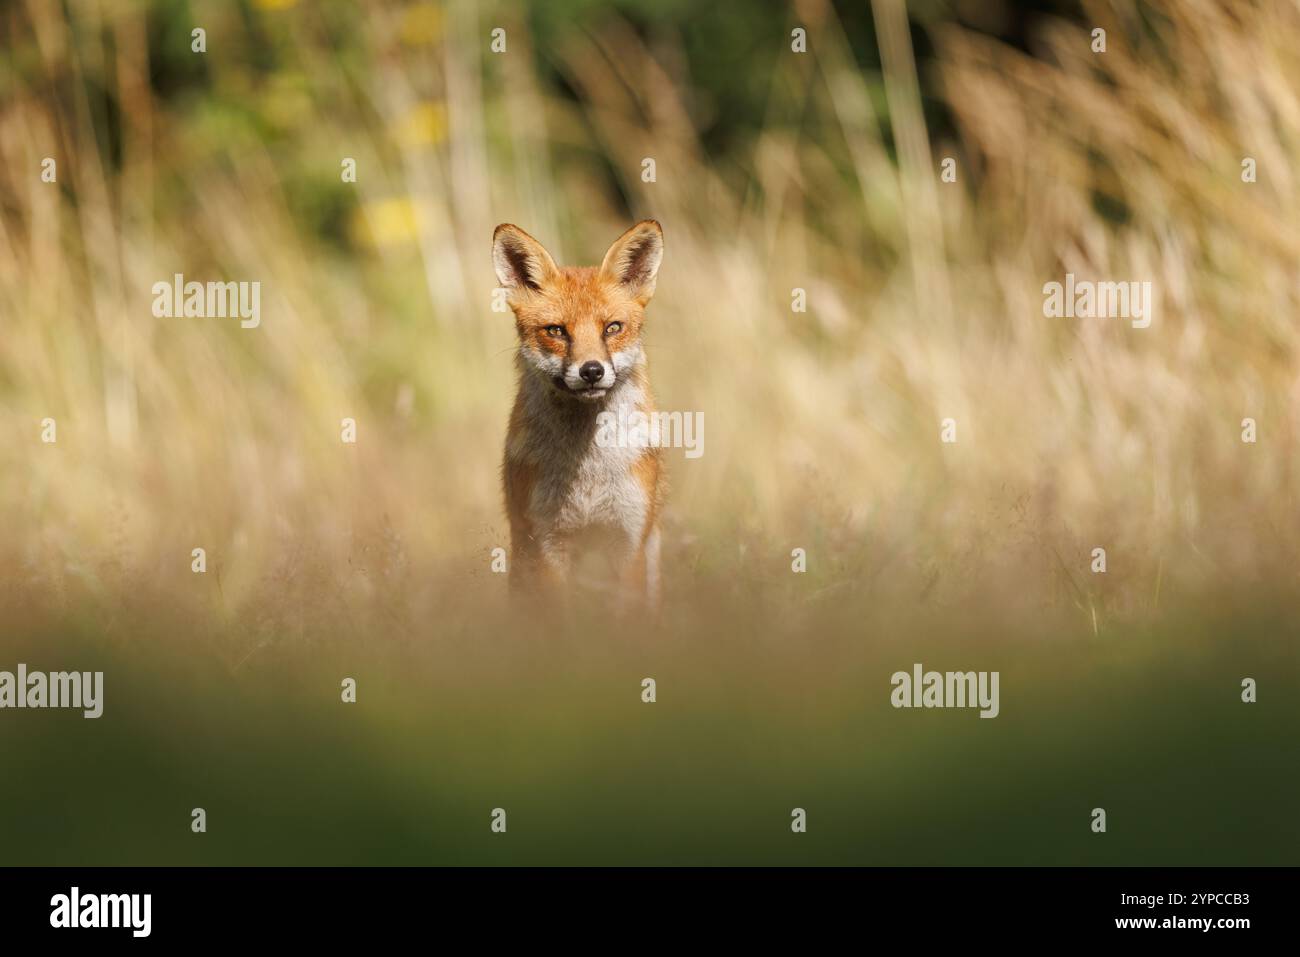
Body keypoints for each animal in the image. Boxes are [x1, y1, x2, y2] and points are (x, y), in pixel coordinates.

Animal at [493, 219, 665, 610]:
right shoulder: (548, 543)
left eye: (612, 328)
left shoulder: (629, 541)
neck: (589, 473)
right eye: (556, 331)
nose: (591, 371)